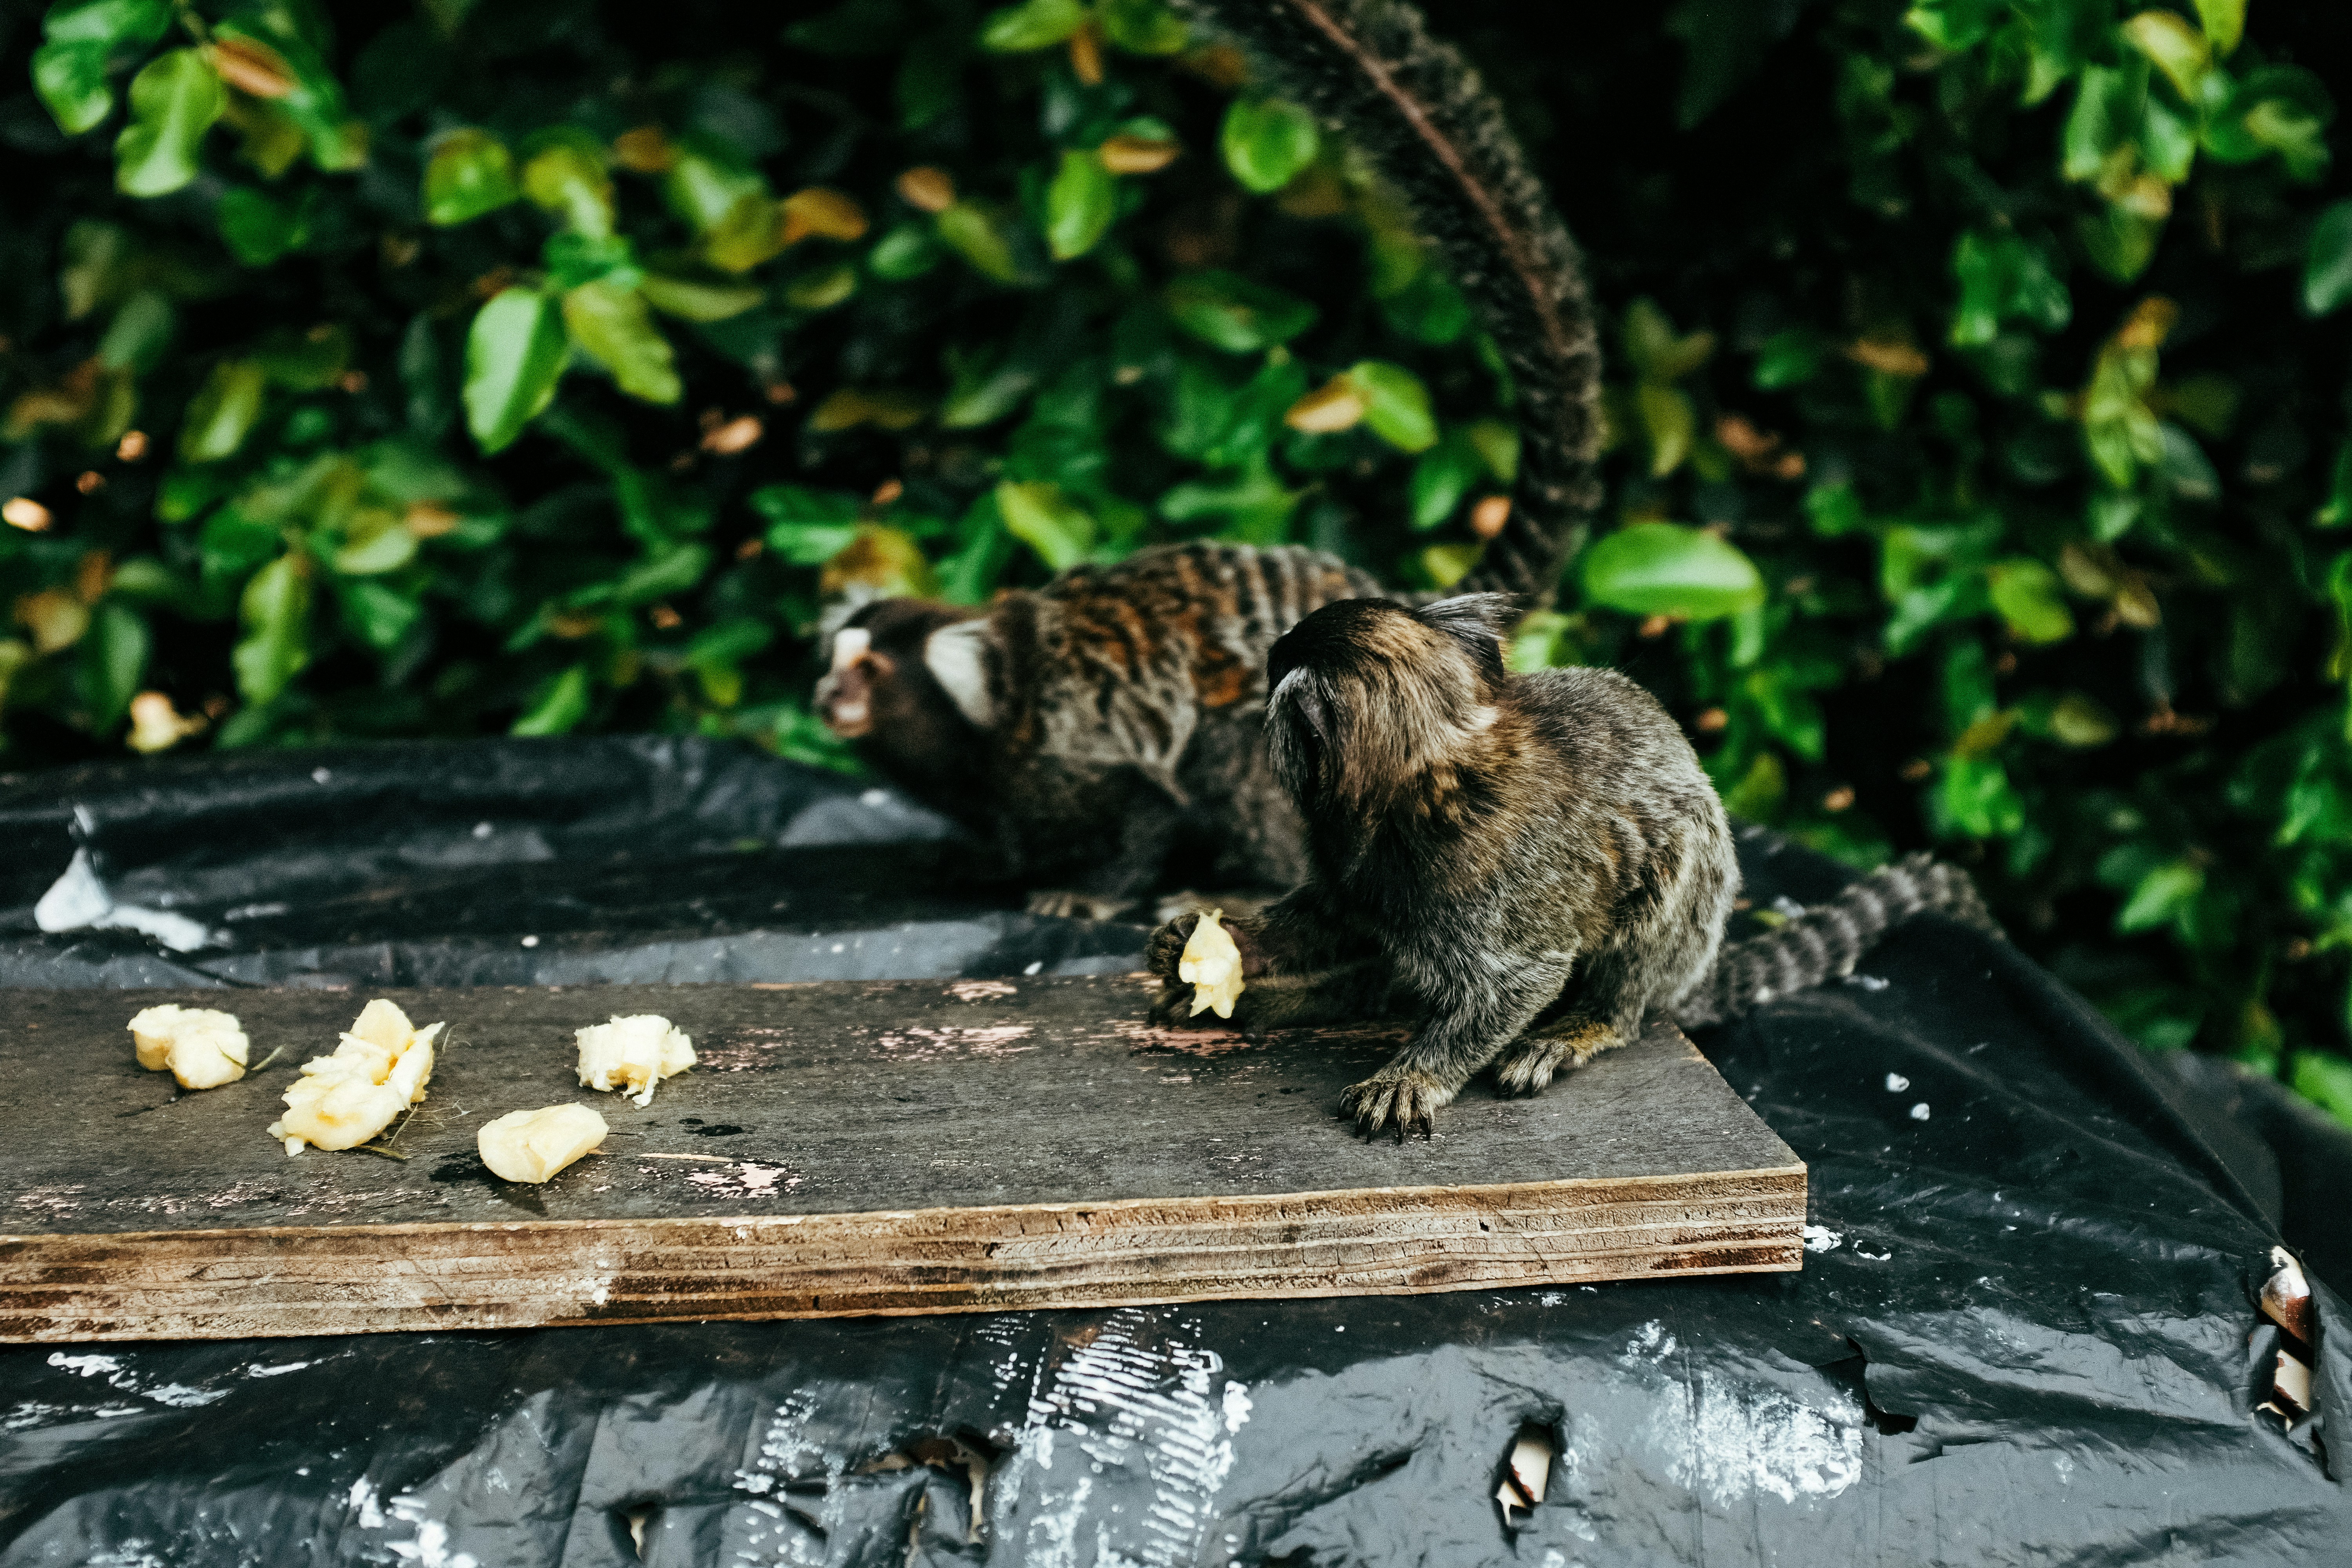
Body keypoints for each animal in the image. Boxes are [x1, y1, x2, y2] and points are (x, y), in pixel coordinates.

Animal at [815, 0, 1602, 920]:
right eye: (836, 663)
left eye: (871, 672)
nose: (829, 696)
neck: (990, 719)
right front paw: (981, 863)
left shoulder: (1071, 760)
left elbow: (1144, 815)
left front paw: (1087, 895)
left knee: (1239, 757)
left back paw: (1247, 885)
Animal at [1145, 594, 2001, 1138]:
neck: (1415, 797)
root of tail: (1686, 983)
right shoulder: (1357, 863)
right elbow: (1333, 916)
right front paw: (1224, 941)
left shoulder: (1487, 891)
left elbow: (1519, 983)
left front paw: (1417, 1075)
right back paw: (1281, 1005)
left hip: (1679, 921)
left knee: (1658, 901)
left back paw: (1587, 1025)